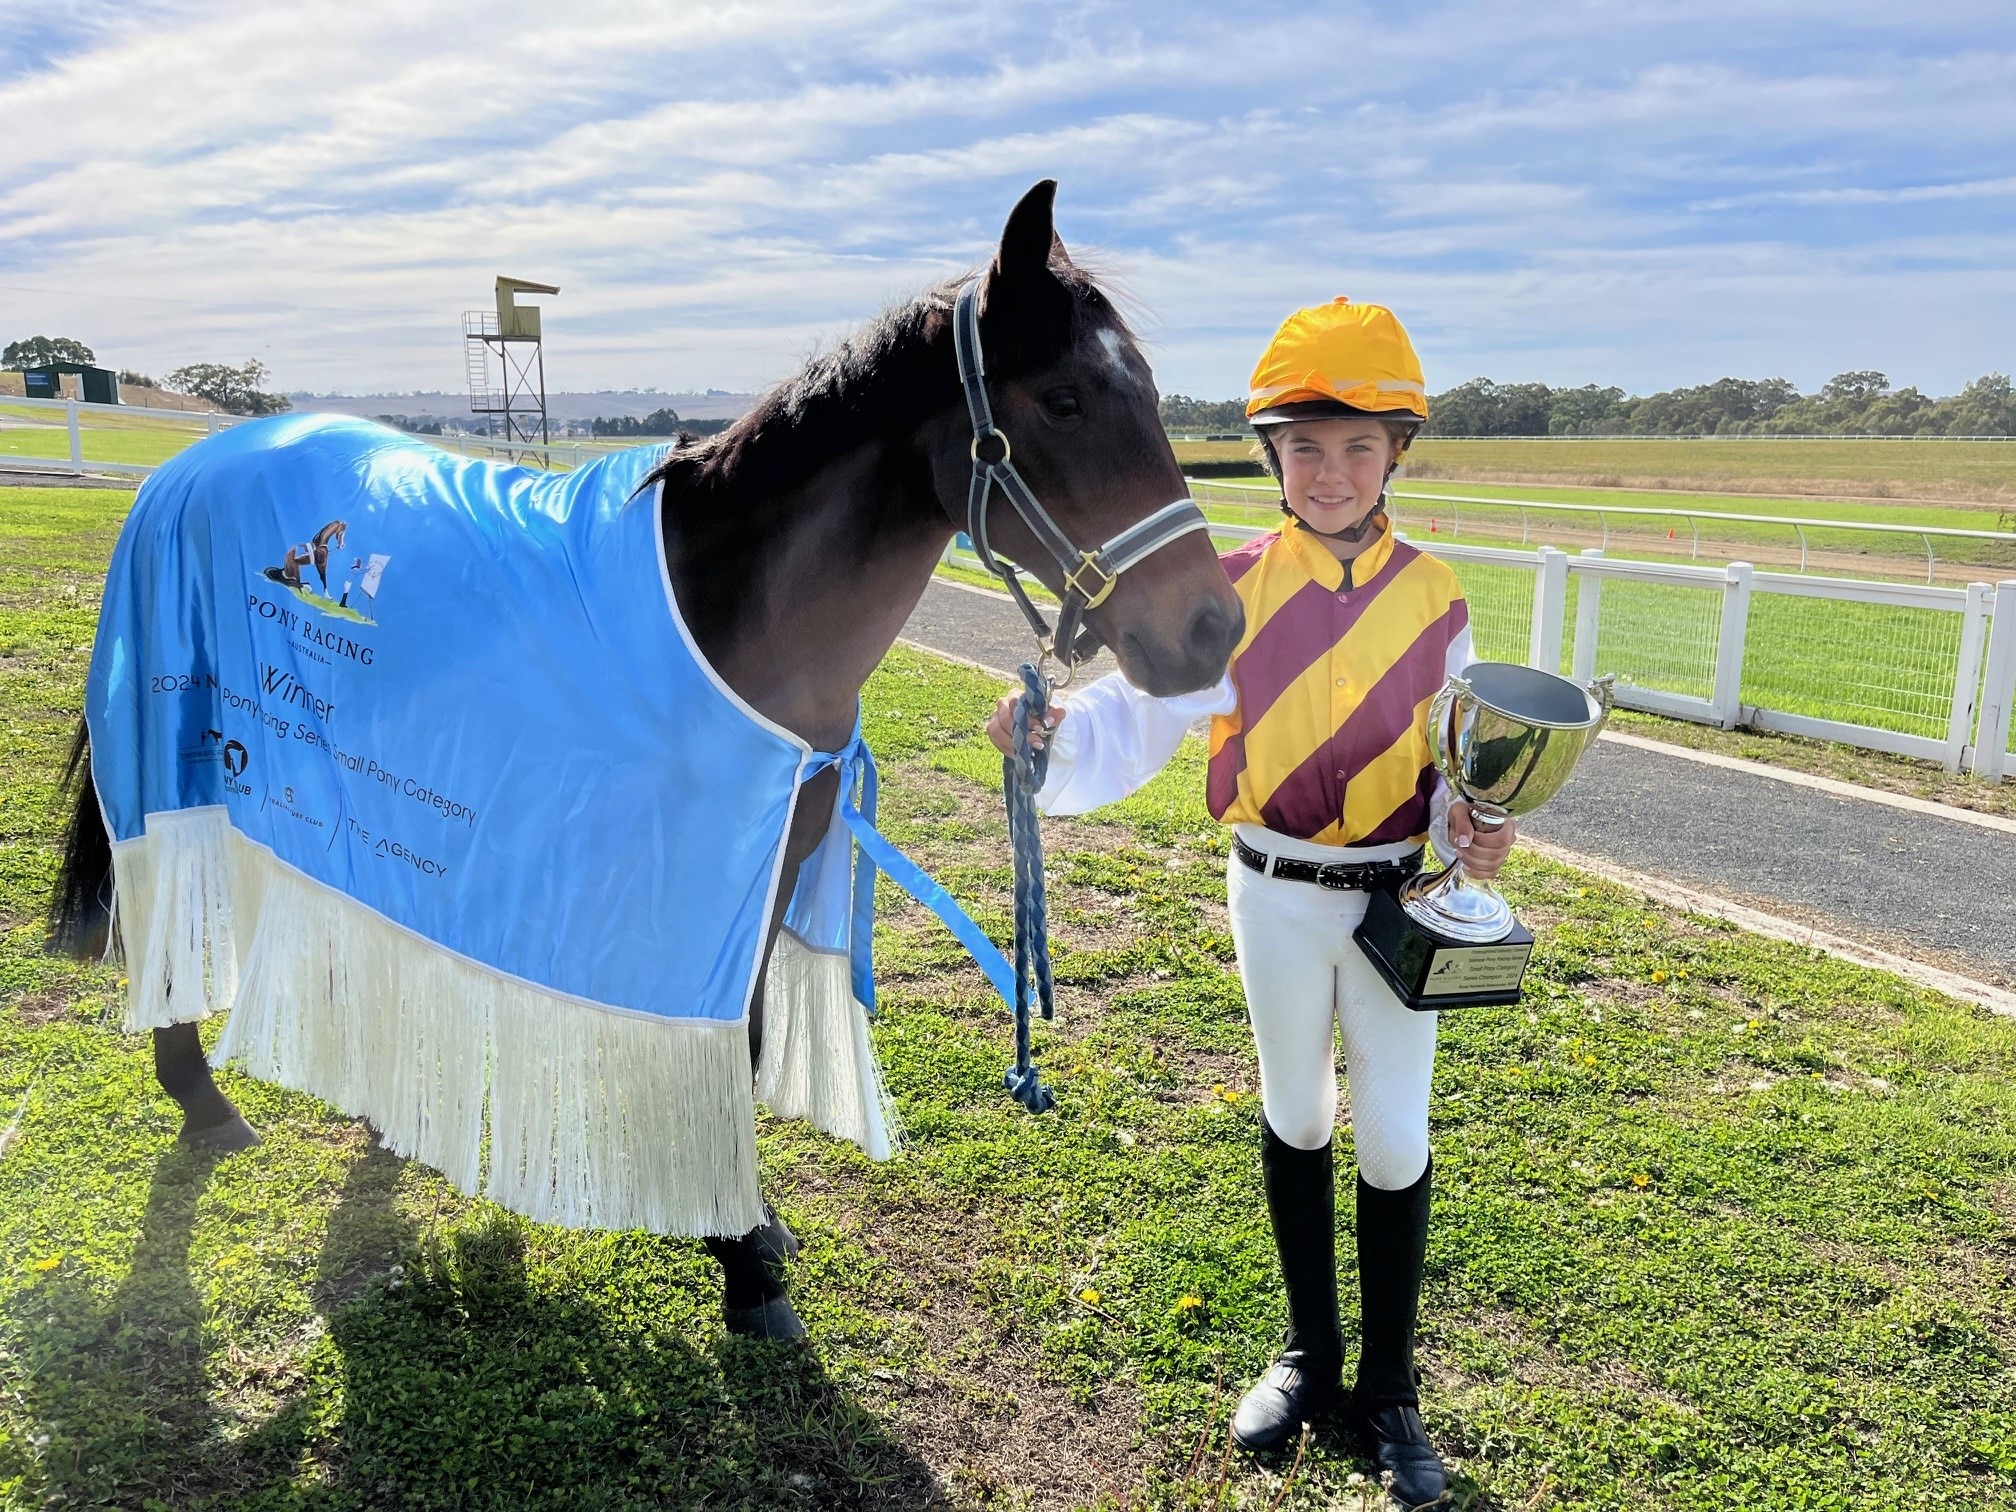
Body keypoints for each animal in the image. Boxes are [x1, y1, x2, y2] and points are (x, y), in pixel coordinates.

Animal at [48, 180, 1244, 1339]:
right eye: (1067, 400)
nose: (1212, 630)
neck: (729, 611)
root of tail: (189, 466)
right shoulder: (692, 882)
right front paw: (741, 1253)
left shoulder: (772, 857)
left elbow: (749, 1028)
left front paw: (751, 1237)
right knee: (161, 912)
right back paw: (203, 1101)